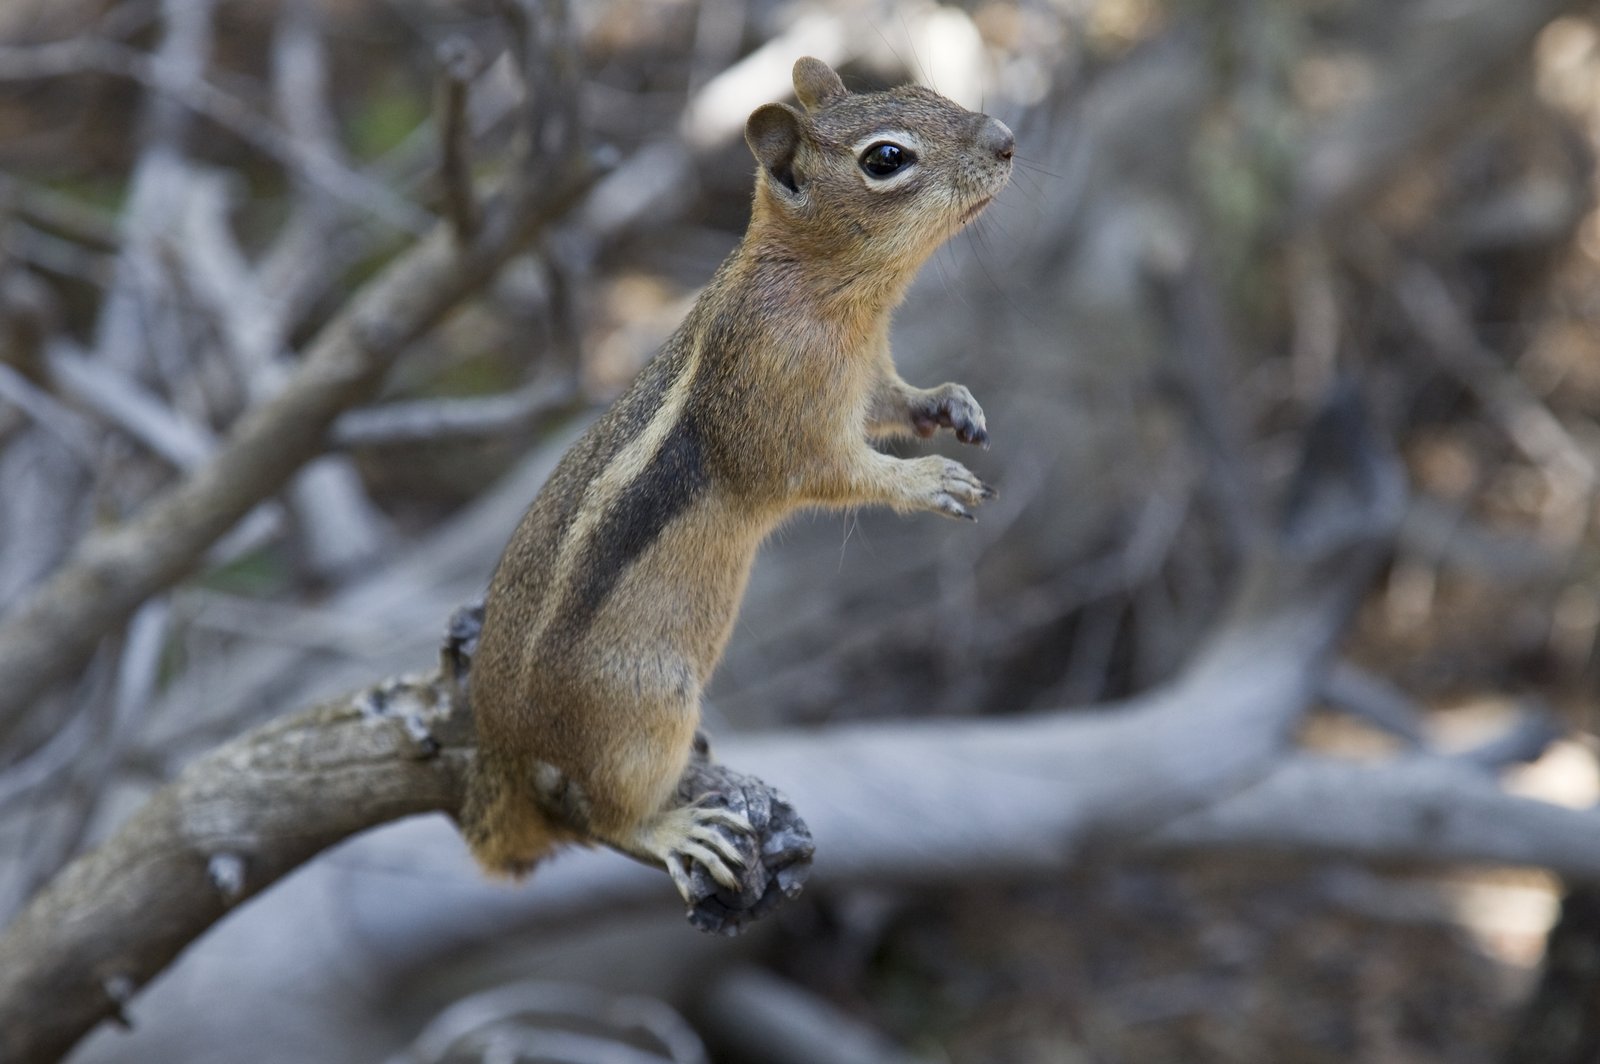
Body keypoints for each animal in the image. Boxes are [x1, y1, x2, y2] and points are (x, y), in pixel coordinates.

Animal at [461, 57, 1013, 900]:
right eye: (887, 158)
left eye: (925, 90)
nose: (1008, 139)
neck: (826, 292)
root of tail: (504, 747)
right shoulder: (782, 416)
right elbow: (833, 473)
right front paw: (927, 480)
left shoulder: (865, 378)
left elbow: (895, 401)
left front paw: (950, 403)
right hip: (645, 712)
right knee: (600, 819)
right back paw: (674, 828)